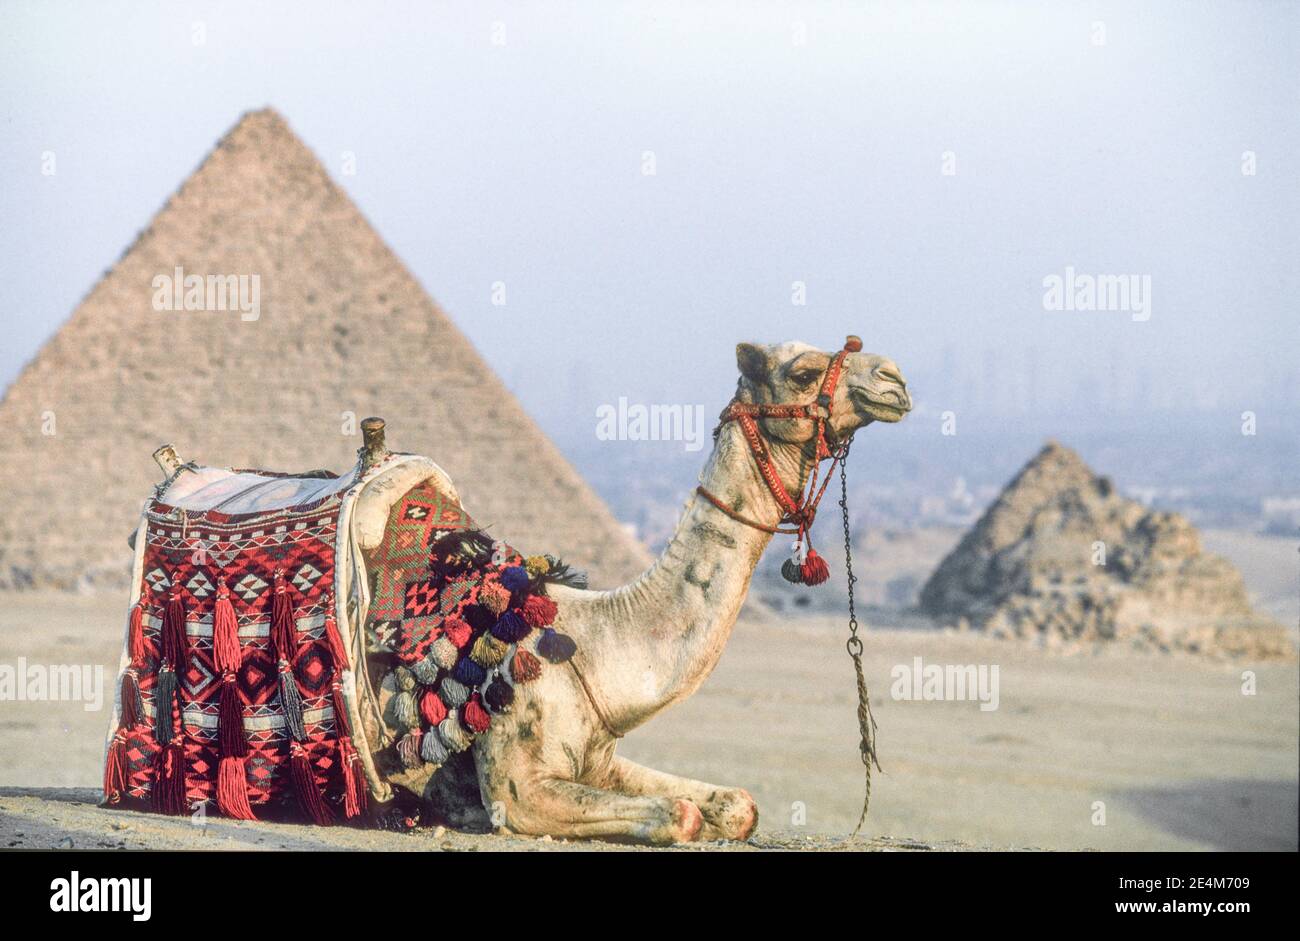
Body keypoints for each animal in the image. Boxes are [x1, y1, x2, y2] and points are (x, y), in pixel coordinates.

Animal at [404, 337, 912, 844]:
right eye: (804, 373)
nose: (894, 379)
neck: (590, 642)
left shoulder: (600, 761)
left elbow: (739, 805)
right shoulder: (516, 788)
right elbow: (681, 814)